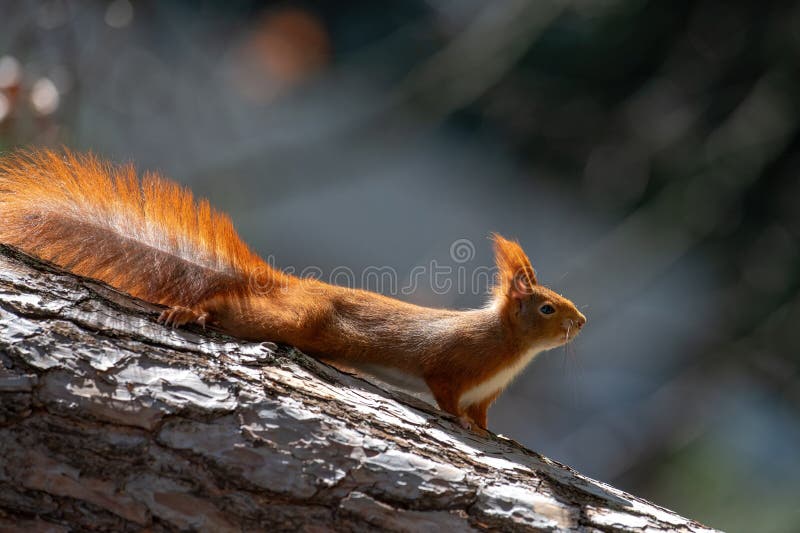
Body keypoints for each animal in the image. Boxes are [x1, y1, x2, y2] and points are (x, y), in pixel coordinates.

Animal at [0, 149, 586, 431]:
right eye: (547, 307)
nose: (580, 324)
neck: (512, 352)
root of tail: (282, 285)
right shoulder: (453, 362)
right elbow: (443, 391)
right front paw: (457, 422)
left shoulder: (487, 393)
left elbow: (484, 418)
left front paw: (485, 432)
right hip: (297, 319)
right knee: (232, 307)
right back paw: (192, 311)